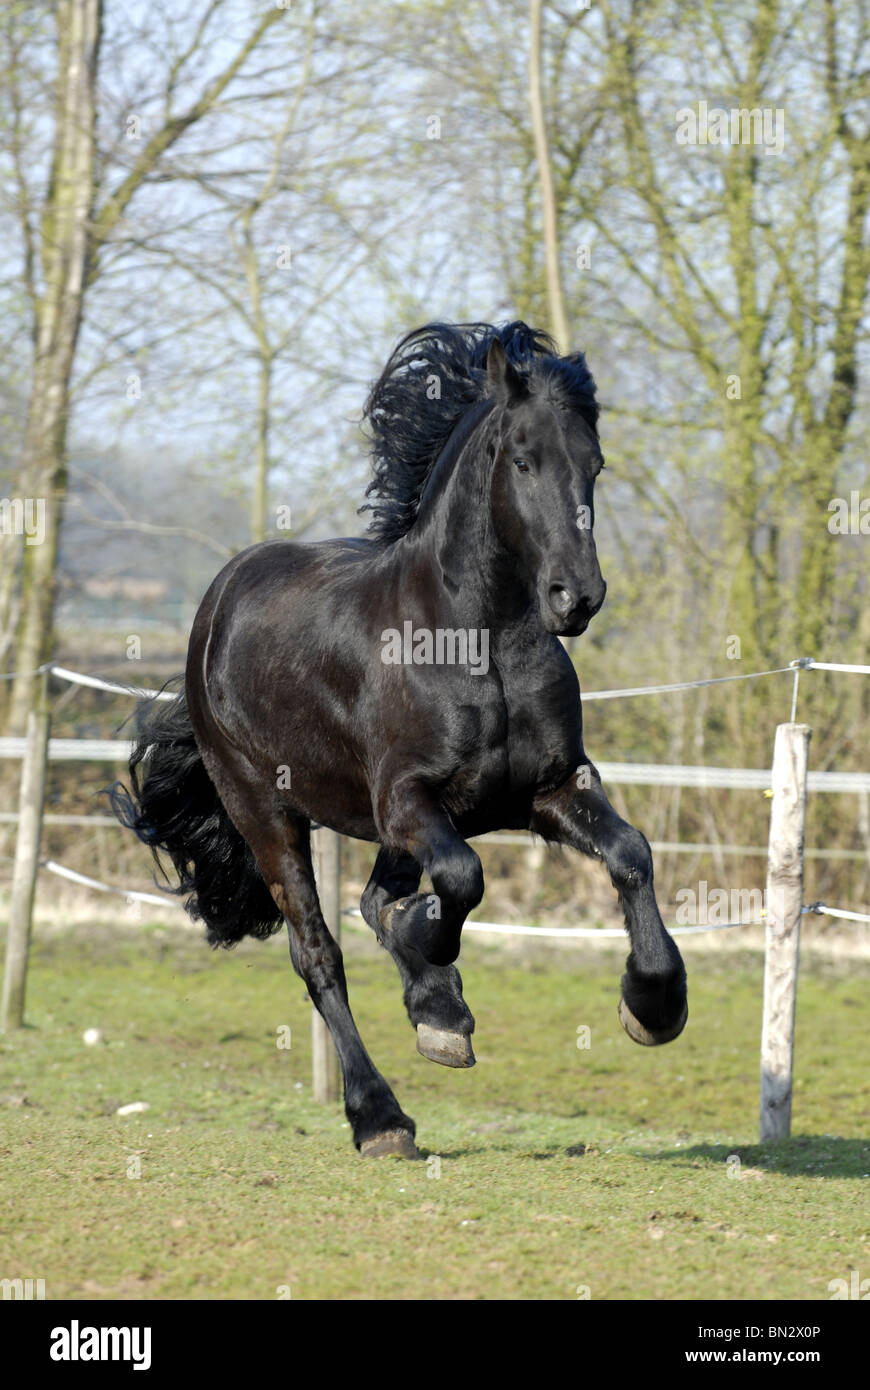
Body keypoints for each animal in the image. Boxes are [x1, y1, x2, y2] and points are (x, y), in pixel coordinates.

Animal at [111, 320, 687, 1159]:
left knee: (375, 899)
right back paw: (380, 1116)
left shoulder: (550, 789)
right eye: (523, 458)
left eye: (595, 463)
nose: (576, 597)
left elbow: (630, 853)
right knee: (320, 952)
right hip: (267, 811)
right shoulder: (409, 799)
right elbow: (460, 882)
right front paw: (435, 987)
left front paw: (653, 1003)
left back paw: (435, 1011)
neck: (478, 642)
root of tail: (217, 602)